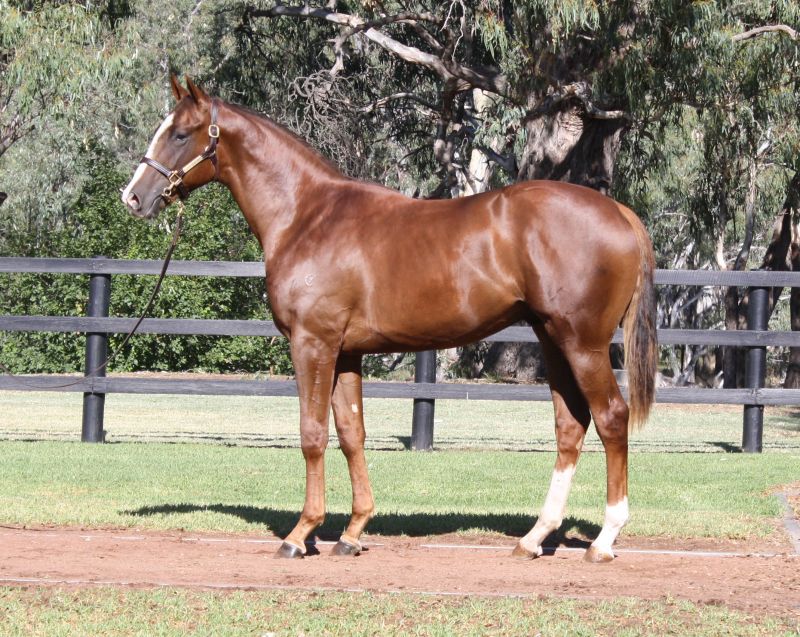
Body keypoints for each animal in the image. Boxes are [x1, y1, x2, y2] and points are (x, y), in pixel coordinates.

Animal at [122, 76, 657, 563]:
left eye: (179, 134)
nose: (133, 198)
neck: (307, 215)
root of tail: (620, 213)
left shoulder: (312, 343)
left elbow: (312, 434)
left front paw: (301, 534)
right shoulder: (346, 353)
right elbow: (351, 434)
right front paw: (352, 533)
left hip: (582, 343)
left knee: (611, 418)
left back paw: (605, 541)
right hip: (552, 340)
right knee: (571, 425)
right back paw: (533, 539)